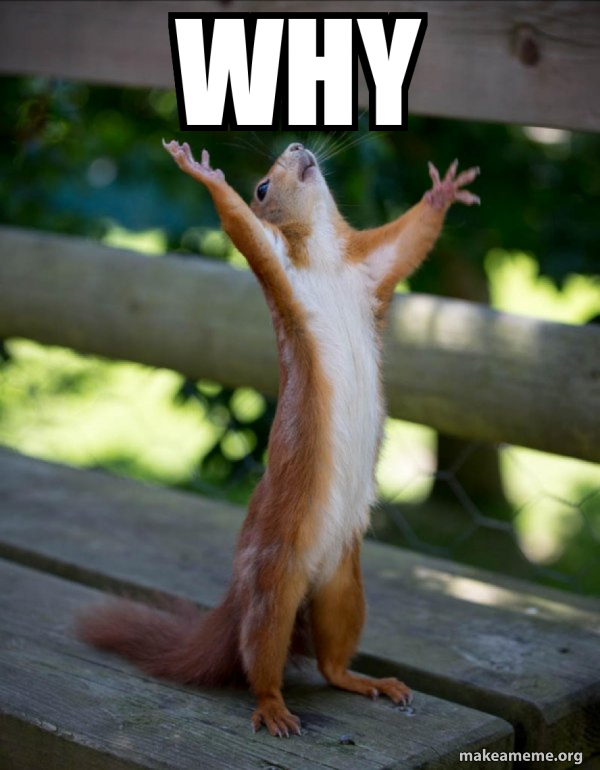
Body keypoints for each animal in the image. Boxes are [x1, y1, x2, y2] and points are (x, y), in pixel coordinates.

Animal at [77, 138, 480, 738]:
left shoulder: (372, 267)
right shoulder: (277, 266)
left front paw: (443, 192)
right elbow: (240, 226)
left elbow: (409, 240)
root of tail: (239, 595)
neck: (327, 257)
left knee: (332, 661)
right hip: (273, 585)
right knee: (260, 658)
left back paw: (368, 682)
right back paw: (273, 708)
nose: (295, 145)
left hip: (344, 586)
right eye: (262, 187)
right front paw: (204, 173)